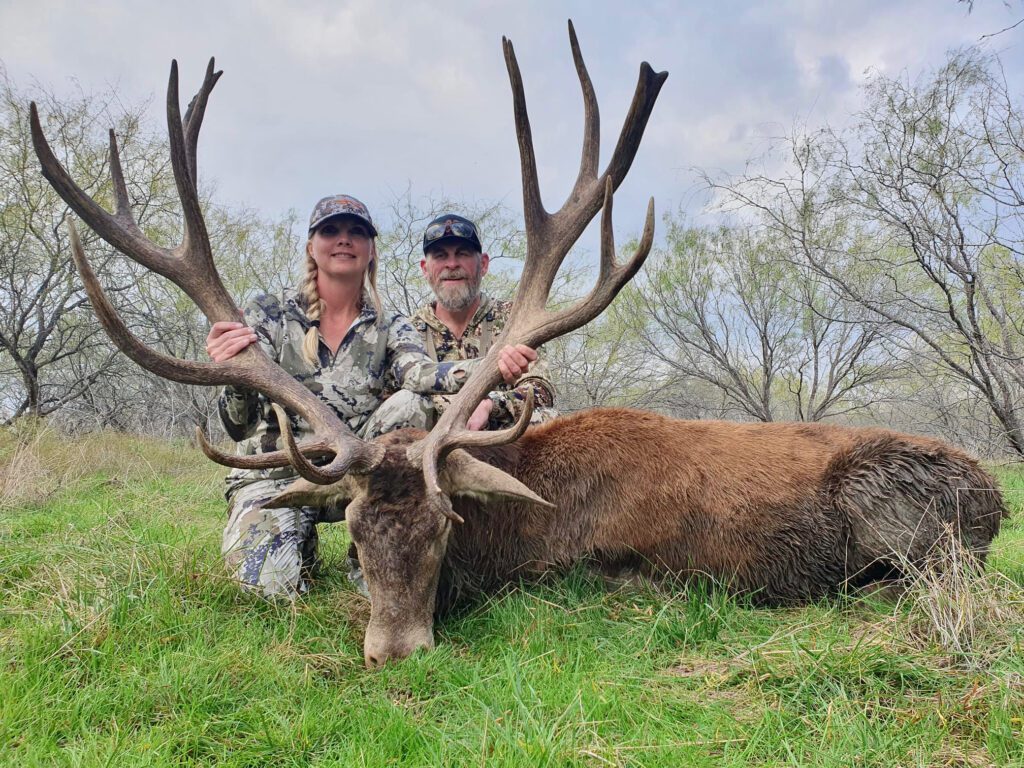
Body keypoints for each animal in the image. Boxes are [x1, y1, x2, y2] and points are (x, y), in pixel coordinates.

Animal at [31, 22, 1006, 669]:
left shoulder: (611, 565)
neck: (523, 526)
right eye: (354, 537)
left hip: (903, 508)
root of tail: (998, 498)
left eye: (443, 530)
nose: (395, 650)